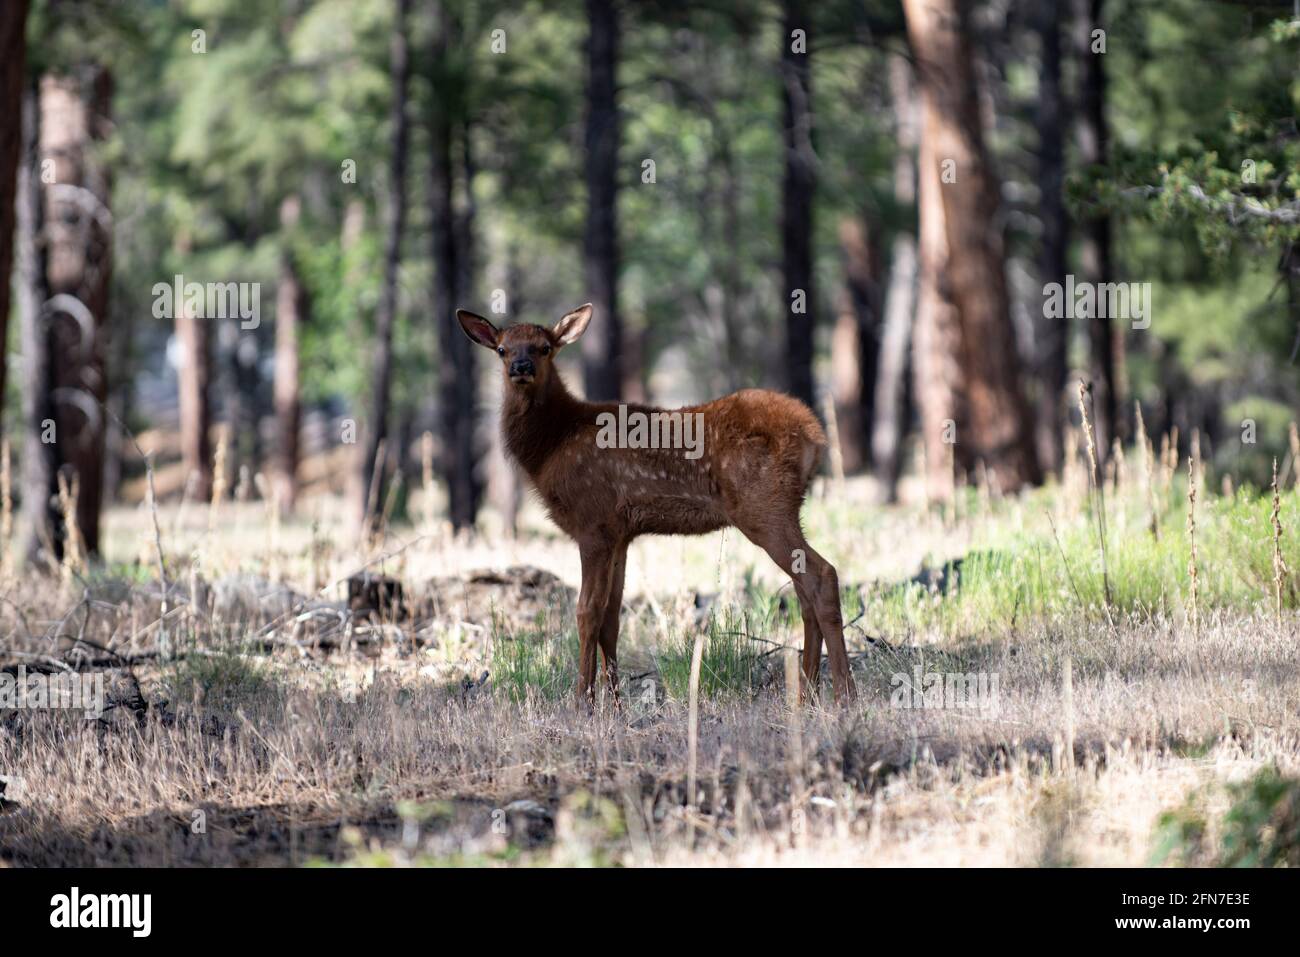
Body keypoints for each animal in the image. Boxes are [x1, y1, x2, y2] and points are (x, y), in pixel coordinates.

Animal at [456, 303, 857, 706]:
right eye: (502, 349)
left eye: (544, 347)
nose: (521, 367)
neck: (552, 447)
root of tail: (816, 434)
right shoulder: (620, 533)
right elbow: (611, 618)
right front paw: (615, 707)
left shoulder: (592, 522)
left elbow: (586, 612)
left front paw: (583, 702)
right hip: (786, 506)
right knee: (803, 589)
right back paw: (806, 695)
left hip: (763, 505)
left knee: (822, 575)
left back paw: (844, 695)